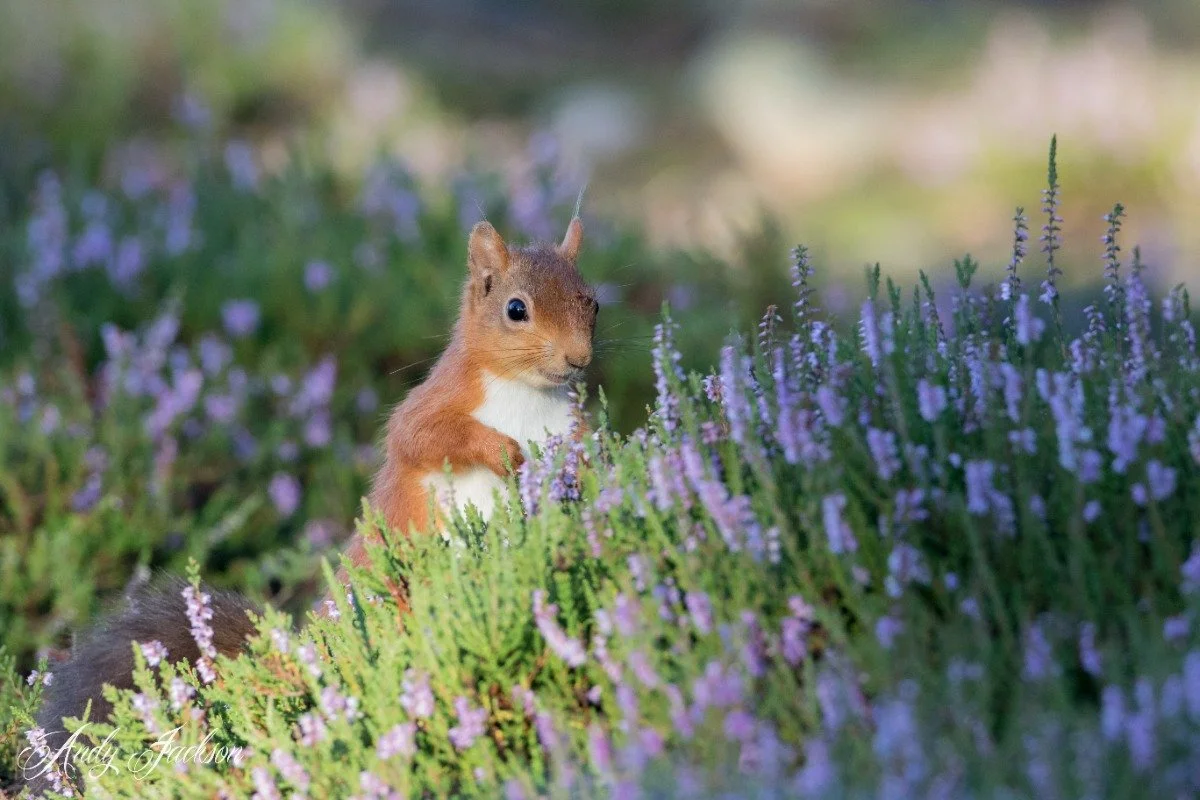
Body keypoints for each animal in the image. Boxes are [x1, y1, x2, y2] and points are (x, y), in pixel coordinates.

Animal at [32, 218, 597, 745]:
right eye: (516, 309)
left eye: (592, 302)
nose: (578, 358)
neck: (525, 395)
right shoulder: (437, 401)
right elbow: (421, 436)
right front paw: (502, 451)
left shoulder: (571, 421)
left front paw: (580, 470)